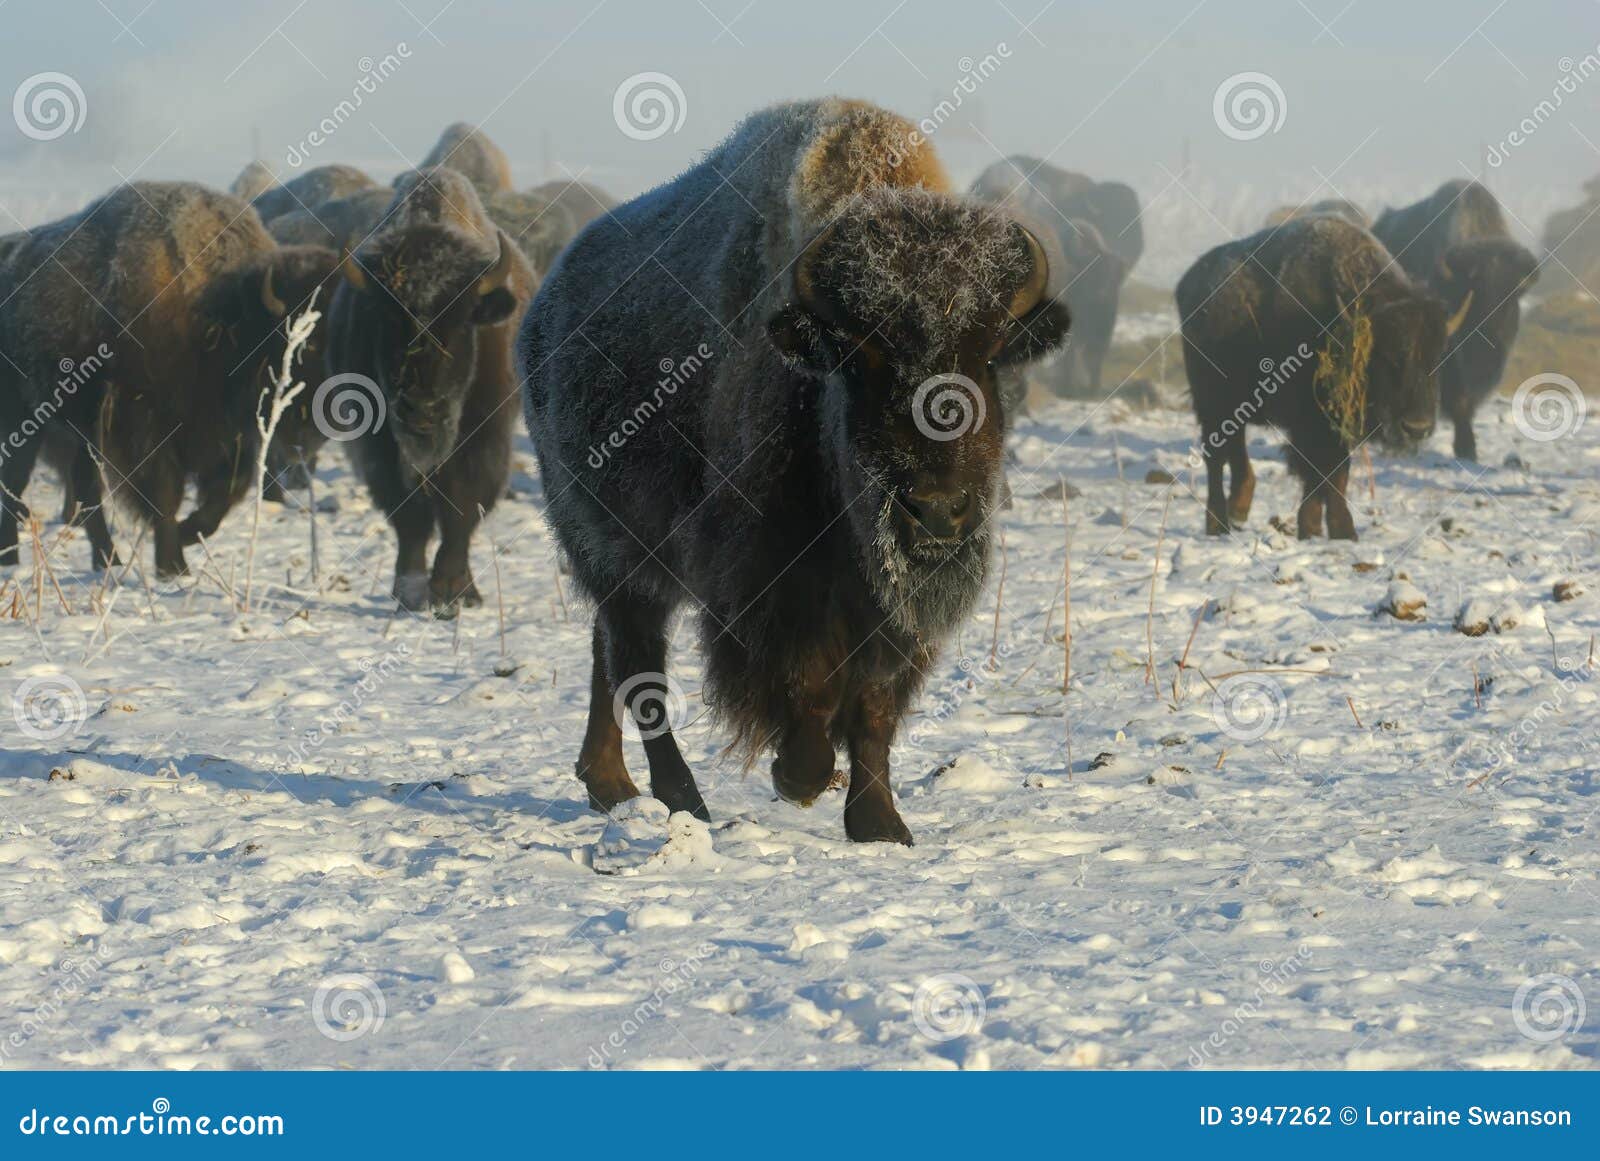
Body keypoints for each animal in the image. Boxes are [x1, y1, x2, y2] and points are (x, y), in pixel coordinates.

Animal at [325, 166, 534, 617]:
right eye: (387, 320)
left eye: (462, 321)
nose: (421, 411)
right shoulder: (380, 447)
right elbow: (410, 517)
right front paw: (410, 591)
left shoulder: (484, 439)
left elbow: (462, 508)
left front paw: (452, 590)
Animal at [520, 99, 1068, 843]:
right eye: (860, 359)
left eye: (989, 356)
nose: (936, 510)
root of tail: (542, 311)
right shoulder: (766, 587)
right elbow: (806, 687)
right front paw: (799, 778)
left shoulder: (887, 612)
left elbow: (873, 706)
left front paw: (878, 822)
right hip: (612, 553)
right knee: (639, 668)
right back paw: (681, 799)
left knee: (609, 655)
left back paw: (609, 785)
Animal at [1178, 217, 1457, 540]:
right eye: (1386, 356)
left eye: (1437, 358)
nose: (1417, 428)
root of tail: (1189, 283)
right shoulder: (1310, 422)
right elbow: (1323, 469)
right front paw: (1334, 529)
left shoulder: (1331, 424)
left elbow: (1334, 472)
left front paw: (1327, 529)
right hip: (1213, 404)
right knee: (1217, 459)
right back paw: (1218, 523)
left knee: (1235, 453)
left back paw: (1238, 510)